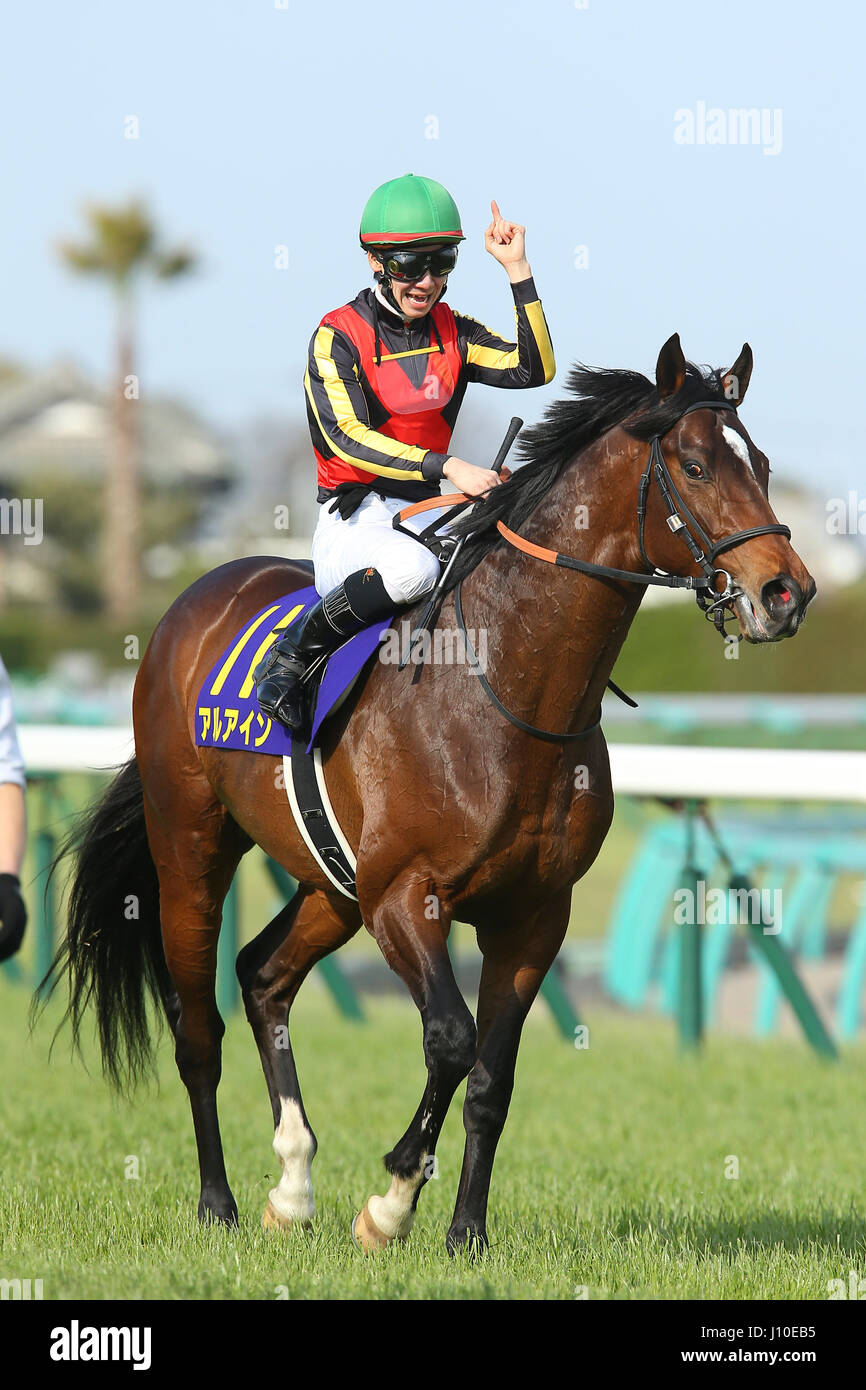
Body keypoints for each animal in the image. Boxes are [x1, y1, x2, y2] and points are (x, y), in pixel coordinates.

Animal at [39, 333, 815, 1255]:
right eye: (695, 466)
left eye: (761, 464)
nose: (787, 592)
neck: (507, 689)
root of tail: (188, 604)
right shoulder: (407, 896)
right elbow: (450, 1040)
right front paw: (391, 1200)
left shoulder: (533, 914)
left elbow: (492, 1076)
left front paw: (465, 1232)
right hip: (193, 848)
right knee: (198, 1025)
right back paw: (219, 1202)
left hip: (332, 883)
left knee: (262, 975)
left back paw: (292, 1187)